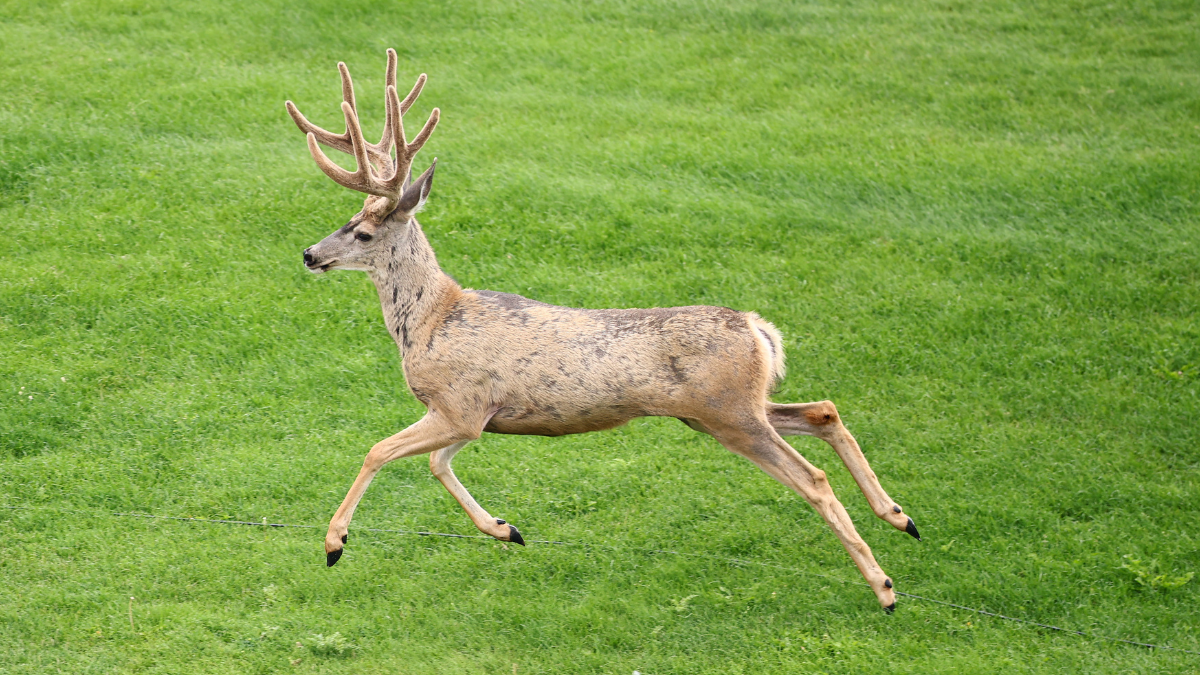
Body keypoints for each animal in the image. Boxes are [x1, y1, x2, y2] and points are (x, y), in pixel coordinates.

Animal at [285, 49, 921, 611]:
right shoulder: (479, 415)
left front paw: (334, 543)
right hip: (725, 408)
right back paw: (901, 517)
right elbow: (440, 465)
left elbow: (378, 450)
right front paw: (506, 528)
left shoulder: (460, 403)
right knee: (824, 411)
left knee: (813, 478)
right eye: (347, 218)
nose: (311, 254)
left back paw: (885, 588)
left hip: (729, 413)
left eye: (364, 232)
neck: (432, 319)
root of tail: (758, 329)